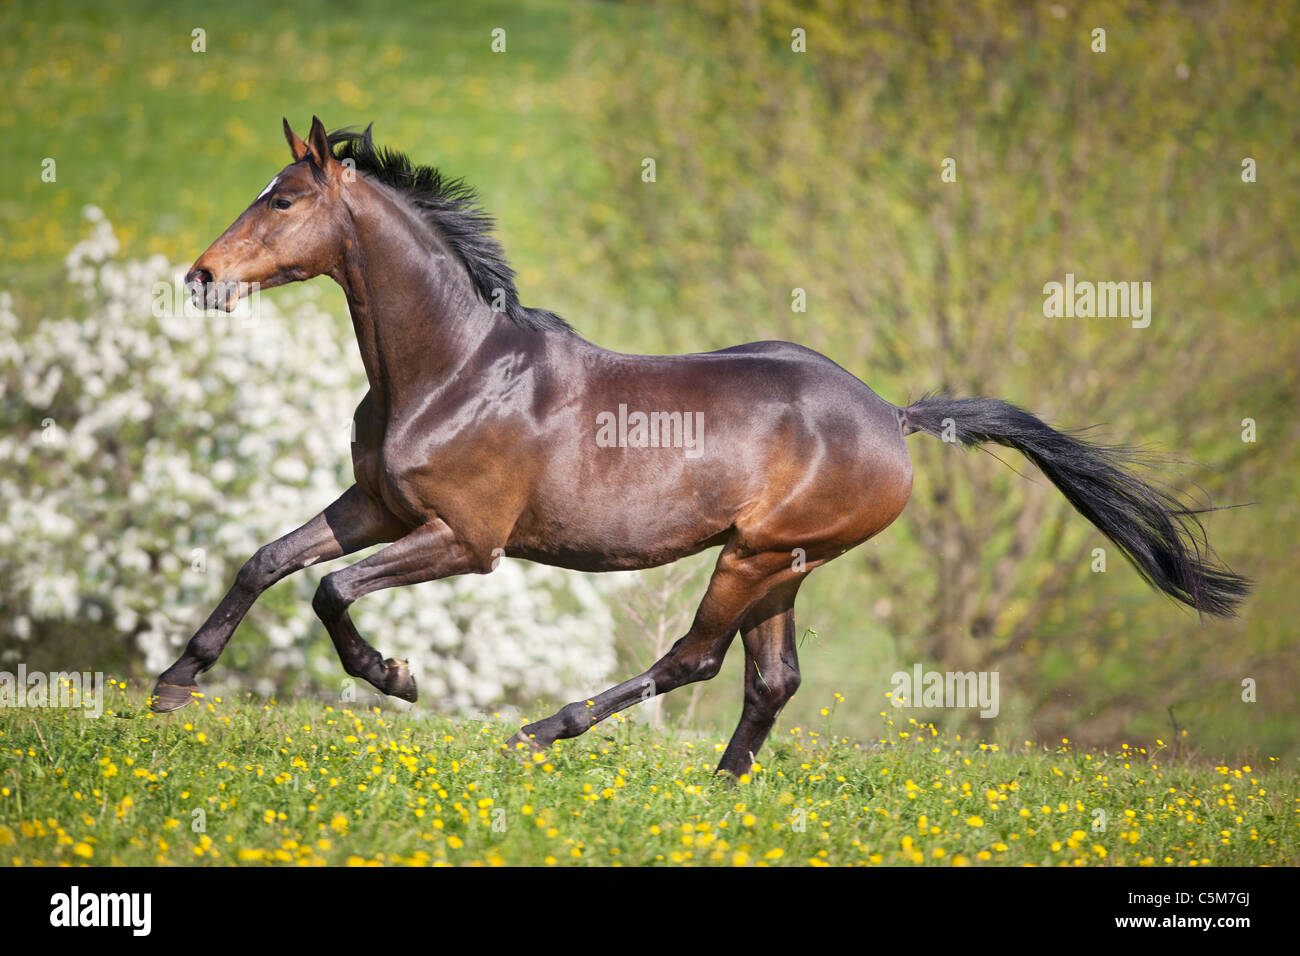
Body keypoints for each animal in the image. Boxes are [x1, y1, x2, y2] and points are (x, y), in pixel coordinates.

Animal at [151, 117, 1249, 777]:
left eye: (285, 199)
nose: (201, 275)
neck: (453, 368)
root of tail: (891, 416)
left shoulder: (465, 539)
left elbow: (331, 592)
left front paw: (397, 677)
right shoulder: (377, 506)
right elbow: (268, 560)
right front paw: (172, 684)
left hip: (753, 557)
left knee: (695, 657)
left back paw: (542, 729)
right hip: (782, 562)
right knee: (770, 679)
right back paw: (721, 792)